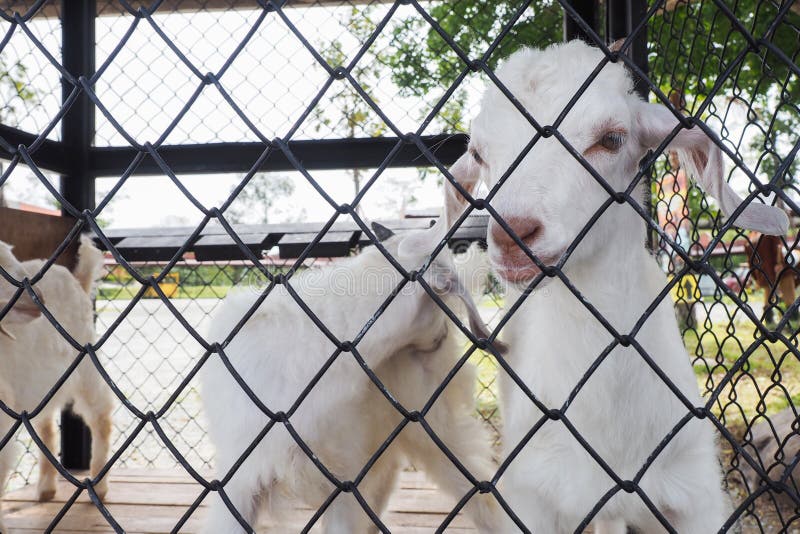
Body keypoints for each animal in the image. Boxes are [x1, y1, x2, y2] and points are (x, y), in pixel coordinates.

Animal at [0, 235, 114, 529]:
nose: (36, 297)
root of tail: (77, 279)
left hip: (86, 362)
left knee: (100, 415)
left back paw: (99, 487)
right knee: (47, 428)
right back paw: (46, 489)